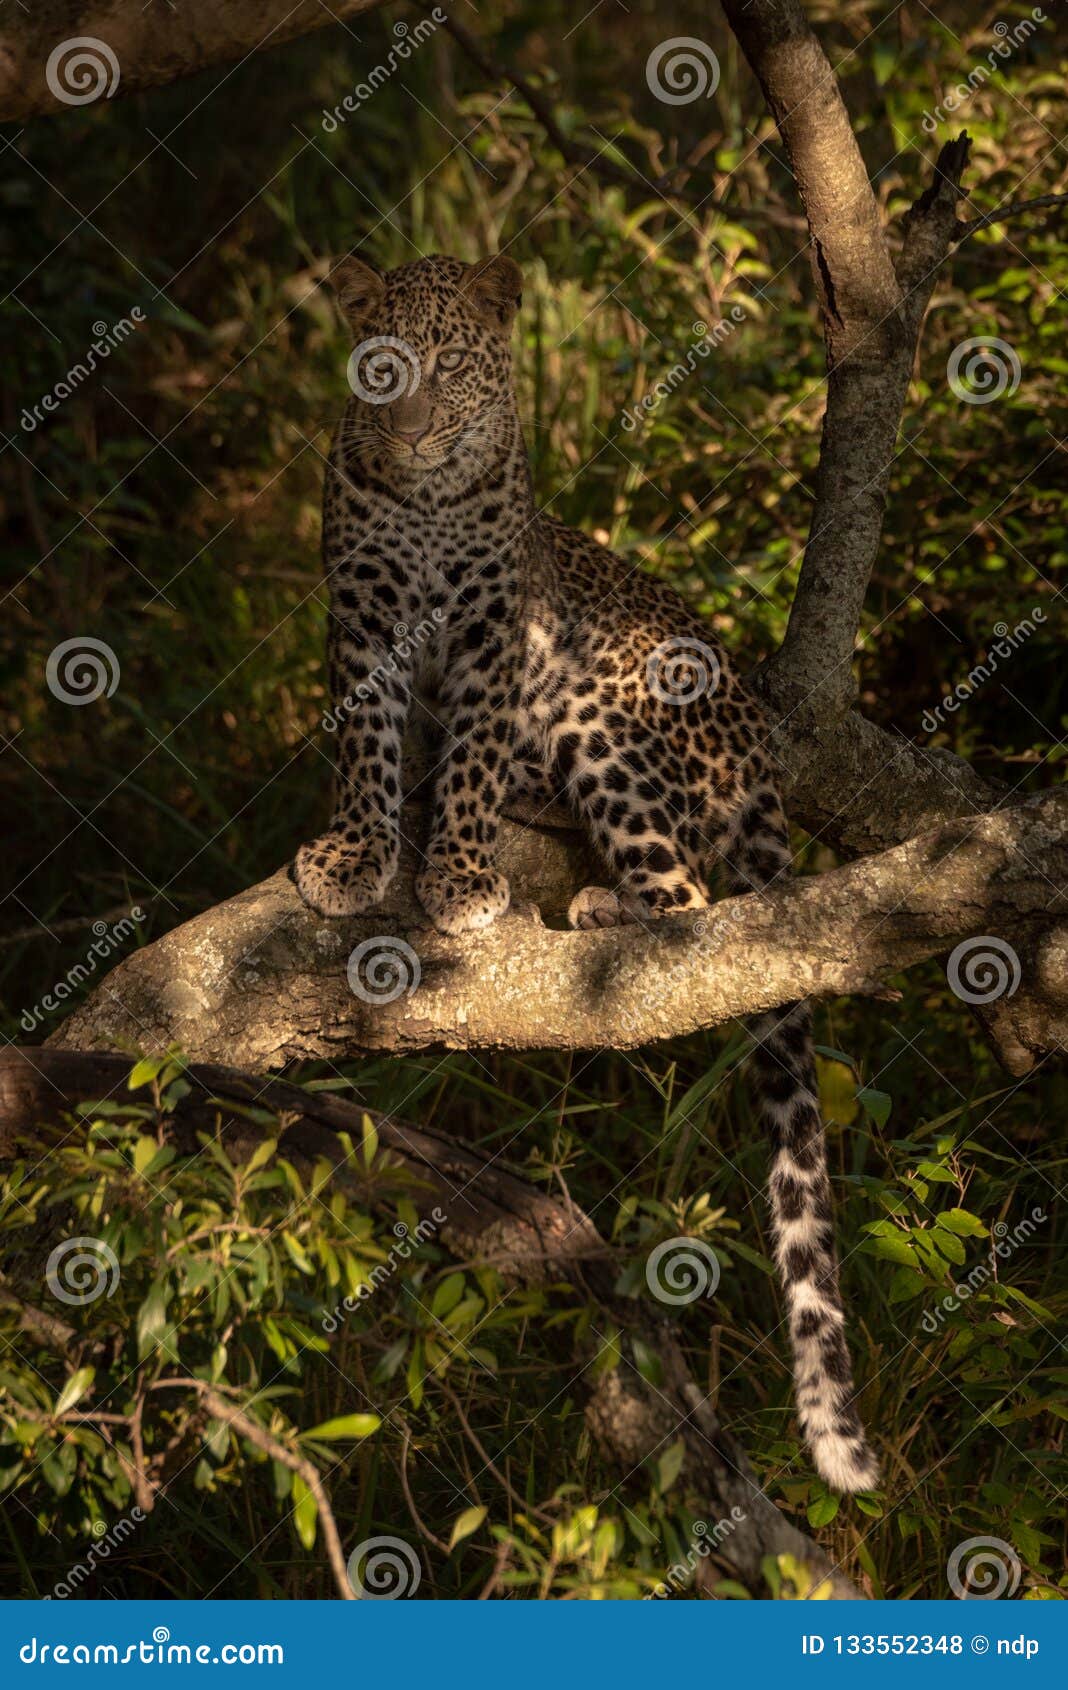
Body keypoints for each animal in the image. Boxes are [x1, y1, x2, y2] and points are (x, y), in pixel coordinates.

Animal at [293, 251, 880, 1494]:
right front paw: (361, 851)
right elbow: (364, 749)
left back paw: (600, 895)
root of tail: (760, 749)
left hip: (611, 719)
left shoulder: (490, 636)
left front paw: (459, 874)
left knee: (701, 909)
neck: (422, 506)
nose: (409, 431)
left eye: (453, 365)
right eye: (381, 366)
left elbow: (467, 754)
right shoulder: (360, 619)